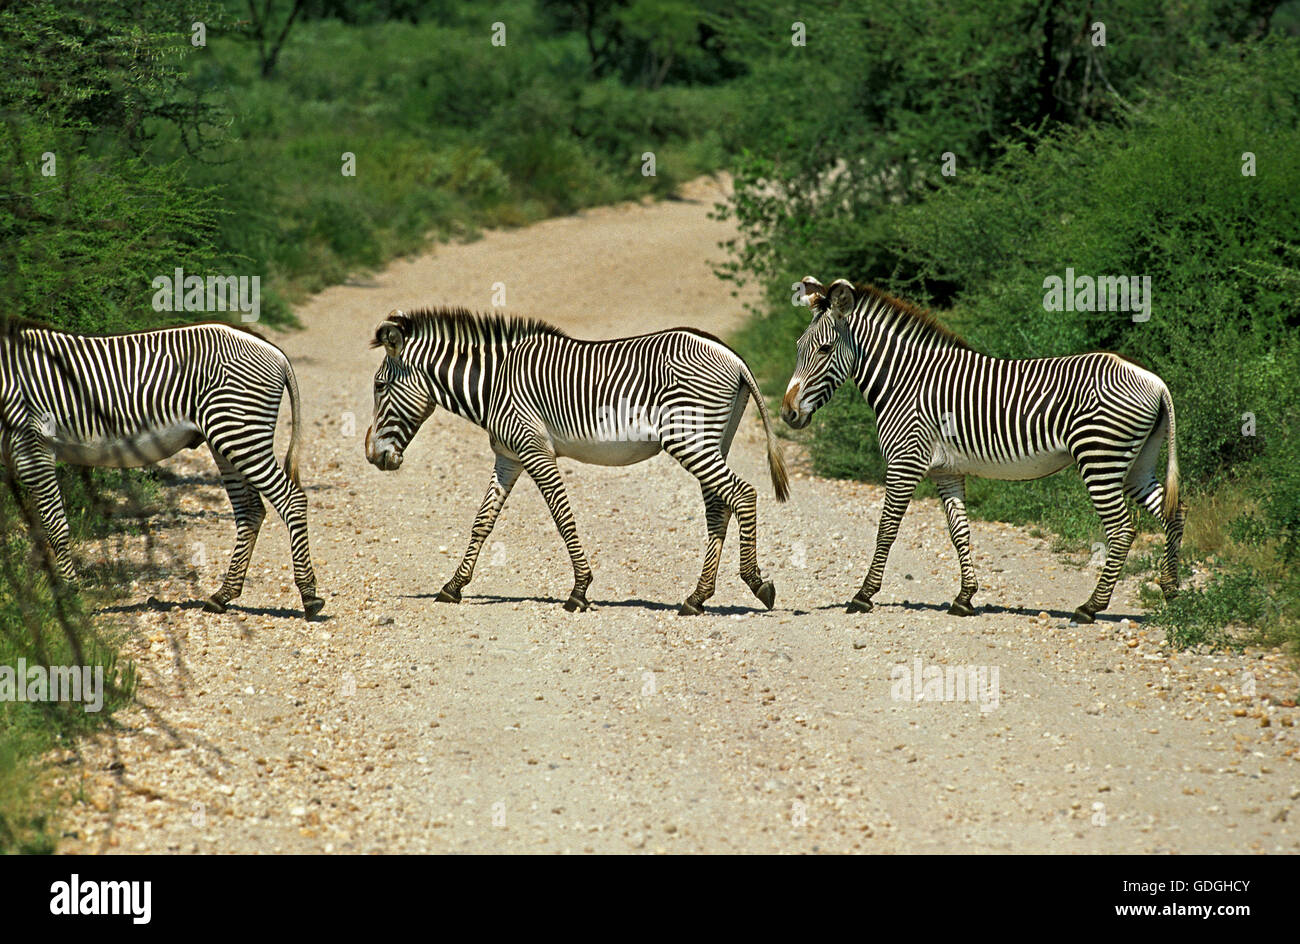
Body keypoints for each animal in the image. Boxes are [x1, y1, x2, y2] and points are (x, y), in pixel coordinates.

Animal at [0, 321, 323, 621]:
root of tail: (272, 349)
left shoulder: (32, 443)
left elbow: (55, 525)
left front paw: (69, 596)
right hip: (228, 438)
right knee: (251, 510)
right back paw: (223, 595)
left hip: (239, 432)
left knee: (291, 499)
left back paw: (309, 596)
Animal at [366, 306, 790, 616]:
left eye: (379, 386)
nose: (372, 456)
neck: (494, 384)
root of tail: (731, 355)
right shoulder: (508, 457)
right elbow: (482, 522)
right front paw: (453, 586)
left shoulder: (534, 449)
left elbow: (562, 517)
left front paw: (579, 590)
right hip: (712, 440)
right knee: (719, 507)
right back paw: (696, 597)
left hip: (690, 439)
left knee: (743, 494)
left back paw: (757, 583)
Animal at [780, 276, 1190, 624]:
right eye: (797, 348)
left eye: (824, 349)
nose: (788, 413)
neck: (905, 380)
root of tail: (1156, 381)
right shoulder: (946, 470)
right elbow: (959, 532)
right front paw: (965, 598)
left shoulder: (905, 460)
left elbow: (886, 529)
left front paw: (863, 595)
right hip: (1136, 464)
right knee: (1175, 512)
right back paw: (1171, 591)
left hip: (1100, 458)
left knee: (1121, 529)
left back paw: (1091, 607)